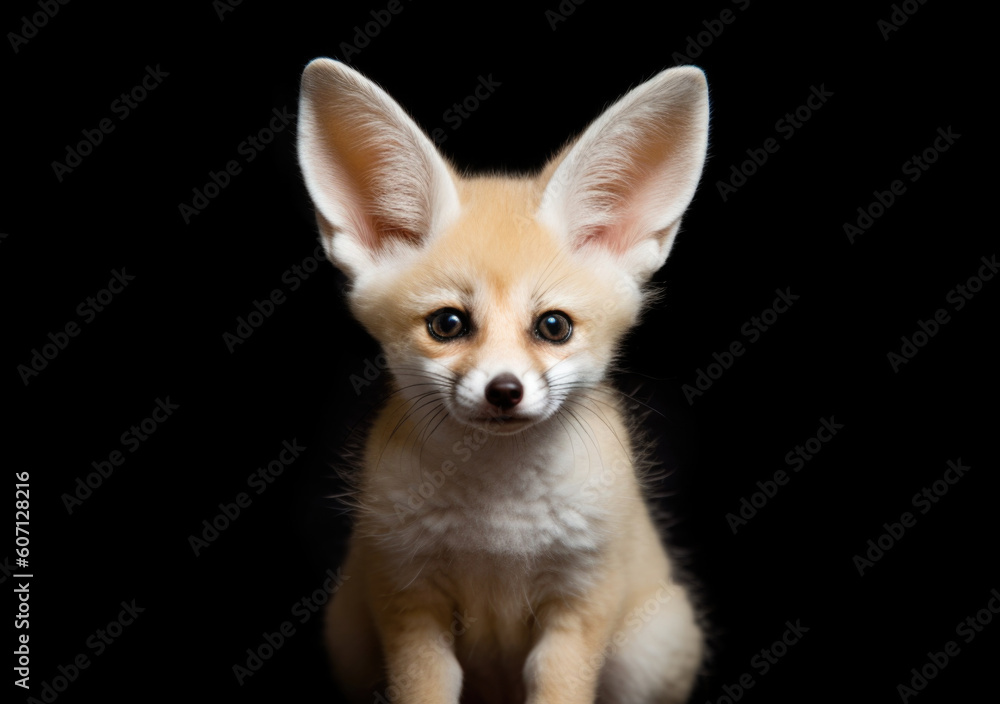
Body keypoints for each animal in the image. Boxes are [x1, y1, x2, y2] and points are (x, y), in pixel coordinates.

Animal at [297, 58, 710, 703]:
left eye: (553, 326)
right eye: (447, 324)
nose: (505, 390)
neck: (498, 525)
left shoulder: (582, 599)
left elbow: (560, 688)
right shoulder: (407, 596)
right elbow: (425, 687)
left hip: (648, 648)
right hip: (349, 638)